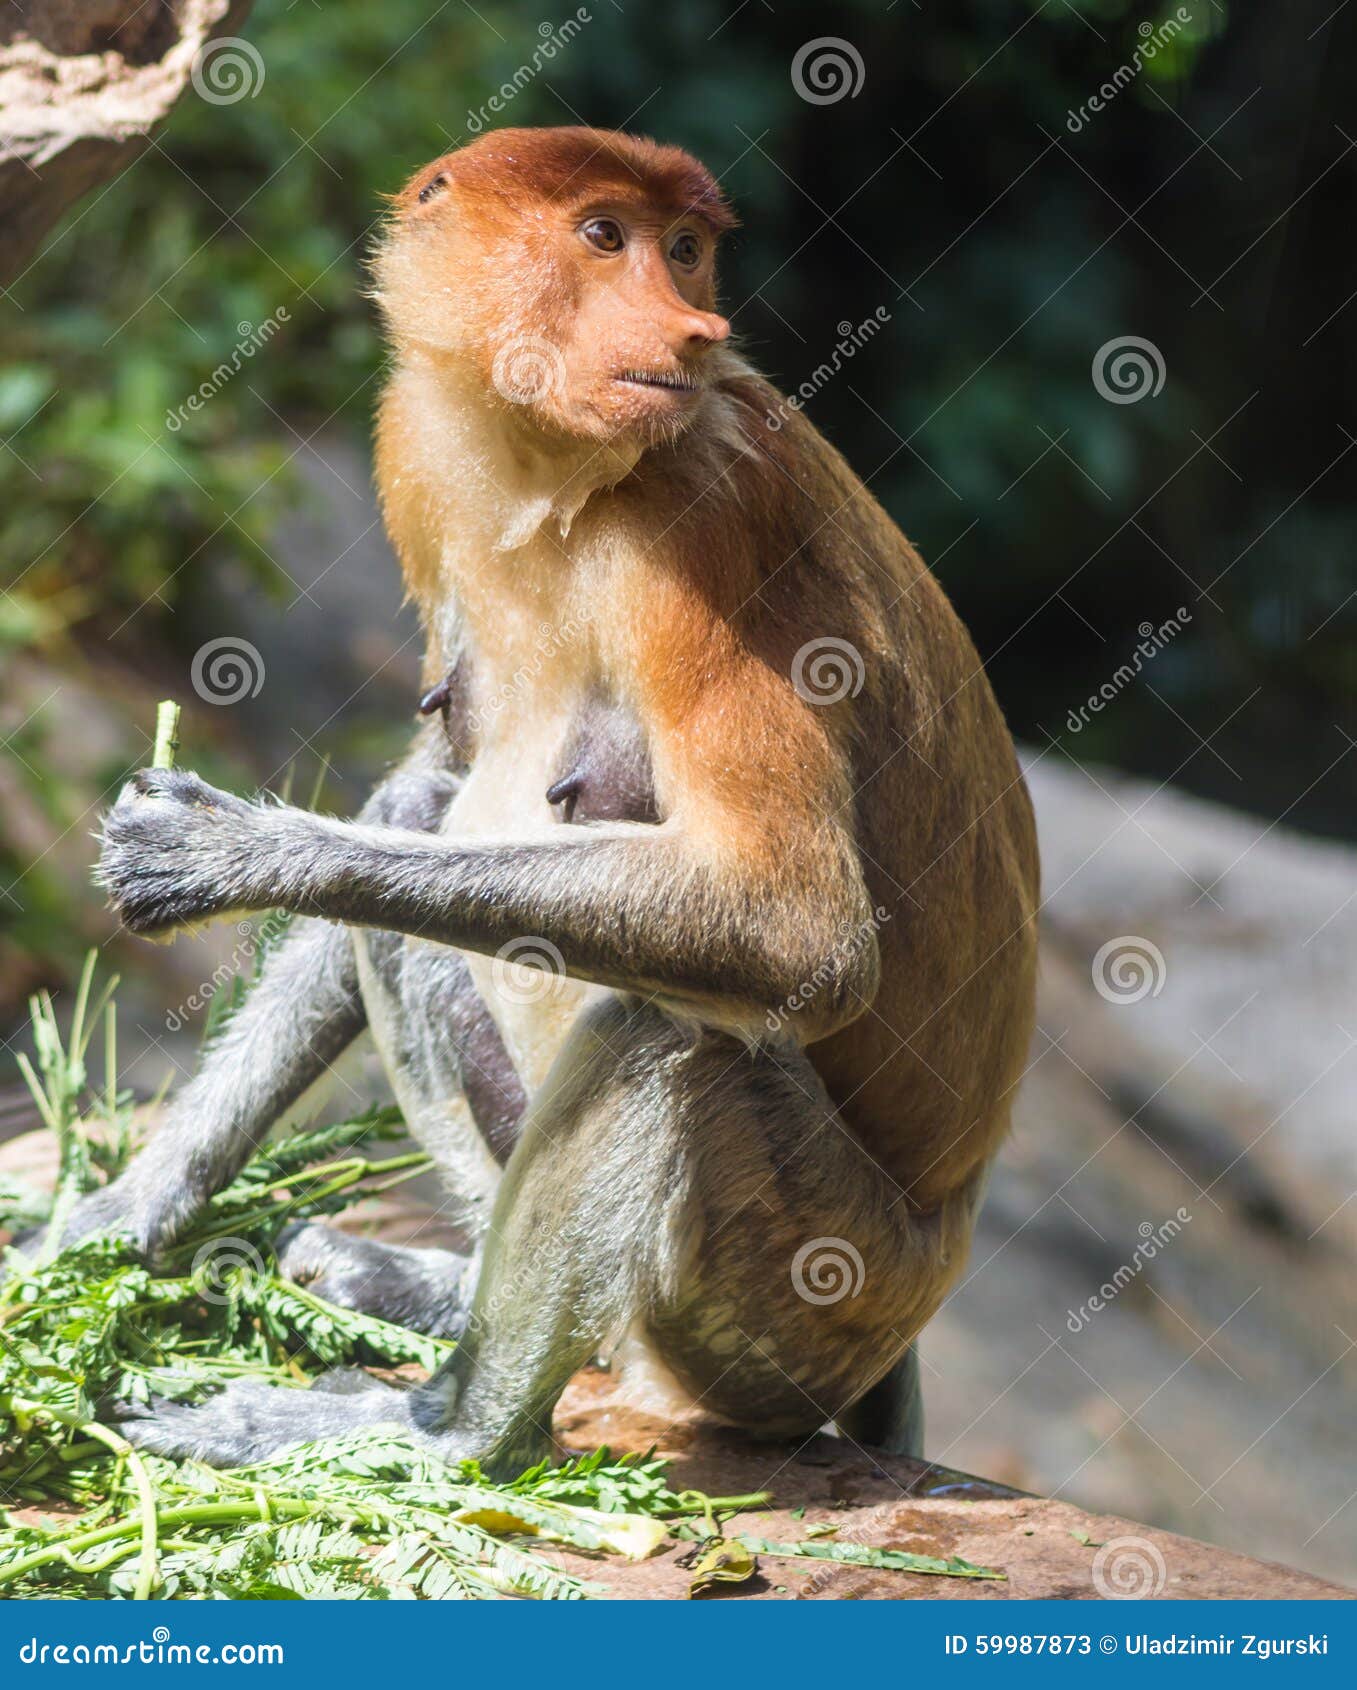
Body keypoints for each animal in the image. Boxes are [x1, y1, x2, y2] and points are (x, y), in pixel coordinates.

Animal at [72, 126, 1039, 1477]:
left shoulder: (714, 517)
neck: (560, 474)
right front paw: (112, 1215)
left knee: (676, 1033)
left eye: (683, 248)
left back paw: (459, 1436)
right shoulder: (419, 457)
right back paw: (429, 1290)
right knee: (422, 855)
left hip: (816, 1293)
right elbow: (423, 788)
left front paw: (225, 853)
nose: (693, 325)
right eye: (602, 236)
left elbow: (796, 926)